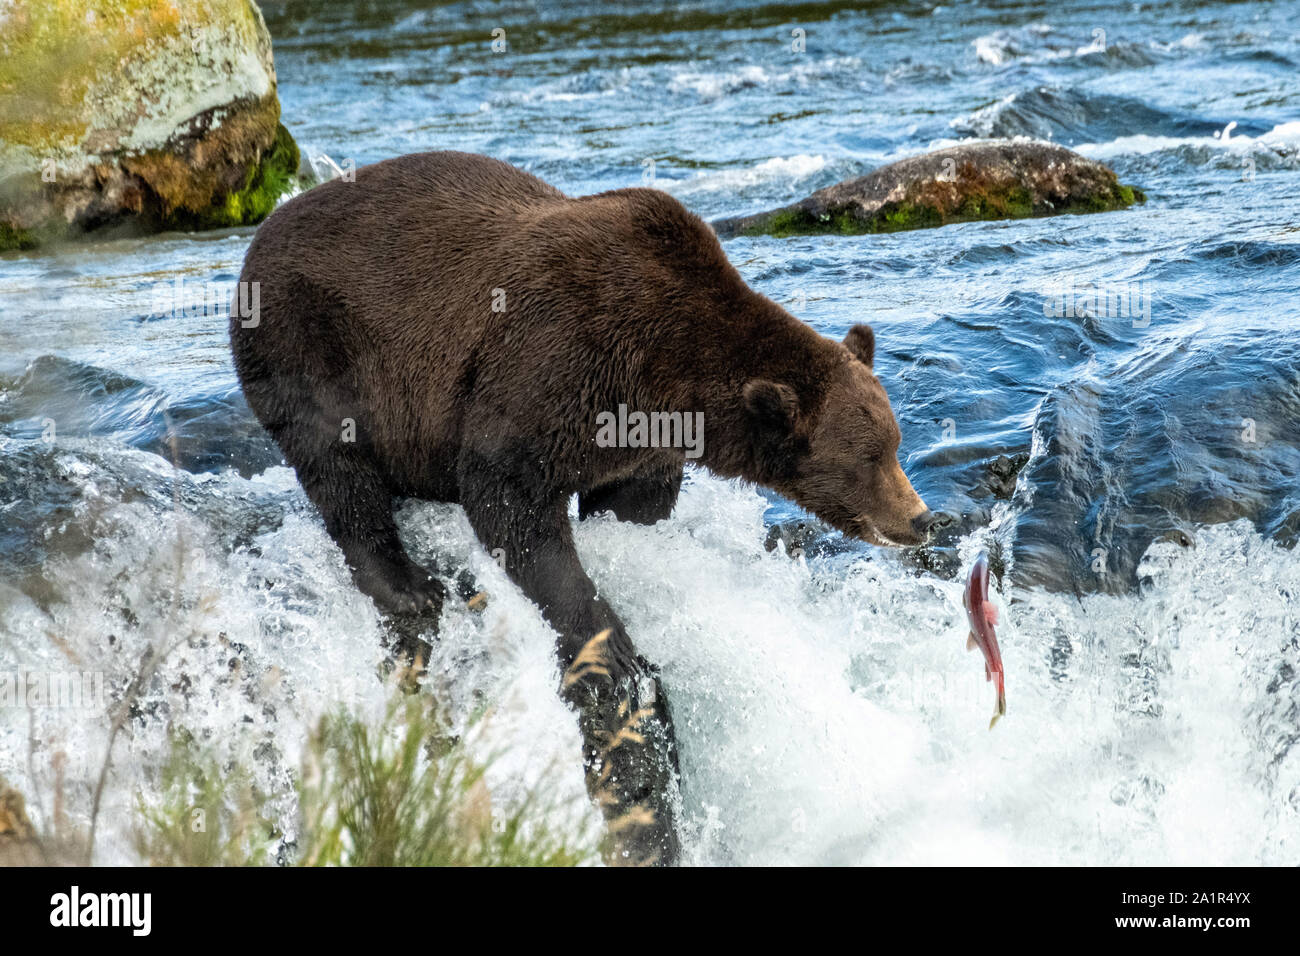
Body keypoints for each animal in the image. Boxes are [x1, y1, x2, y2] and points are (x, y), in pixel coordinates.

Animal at [230, 151, 948, 865]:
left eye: (895, 442)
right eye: (868, 458)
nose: (919, 519)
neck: (668, 373)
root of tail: (263, 234)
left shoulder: (635, 439)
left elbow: (630, 501)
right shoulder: (553, 360)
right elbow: (509, 502)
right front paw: (613, 654)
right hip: (312, 344)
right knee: (337, 466)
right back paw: (408, 585)